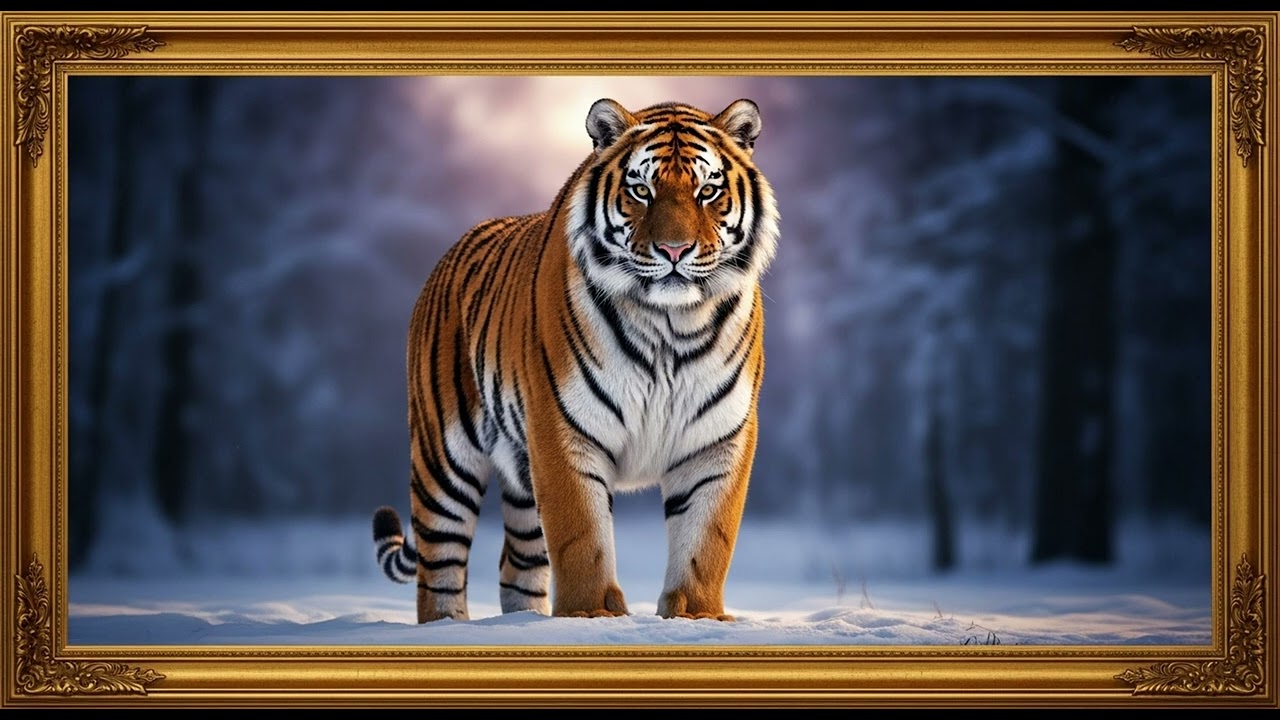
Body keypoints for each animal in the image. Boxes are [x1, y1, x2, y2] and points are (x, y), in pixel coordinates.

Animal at [372, 98, 779, 622]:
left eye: (707, 191)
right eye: (641, 190)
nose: (674, 250)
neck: (668, 325)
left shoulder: (716, 441)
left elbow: (706, 542)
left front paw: (697, 617)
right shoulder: (562, 430)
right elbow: (582, 537)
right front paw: (591, 616)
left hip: (521, 478)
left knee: (517, 563)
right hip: (443, 459)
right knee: (438, 569)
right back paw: (447, 628)